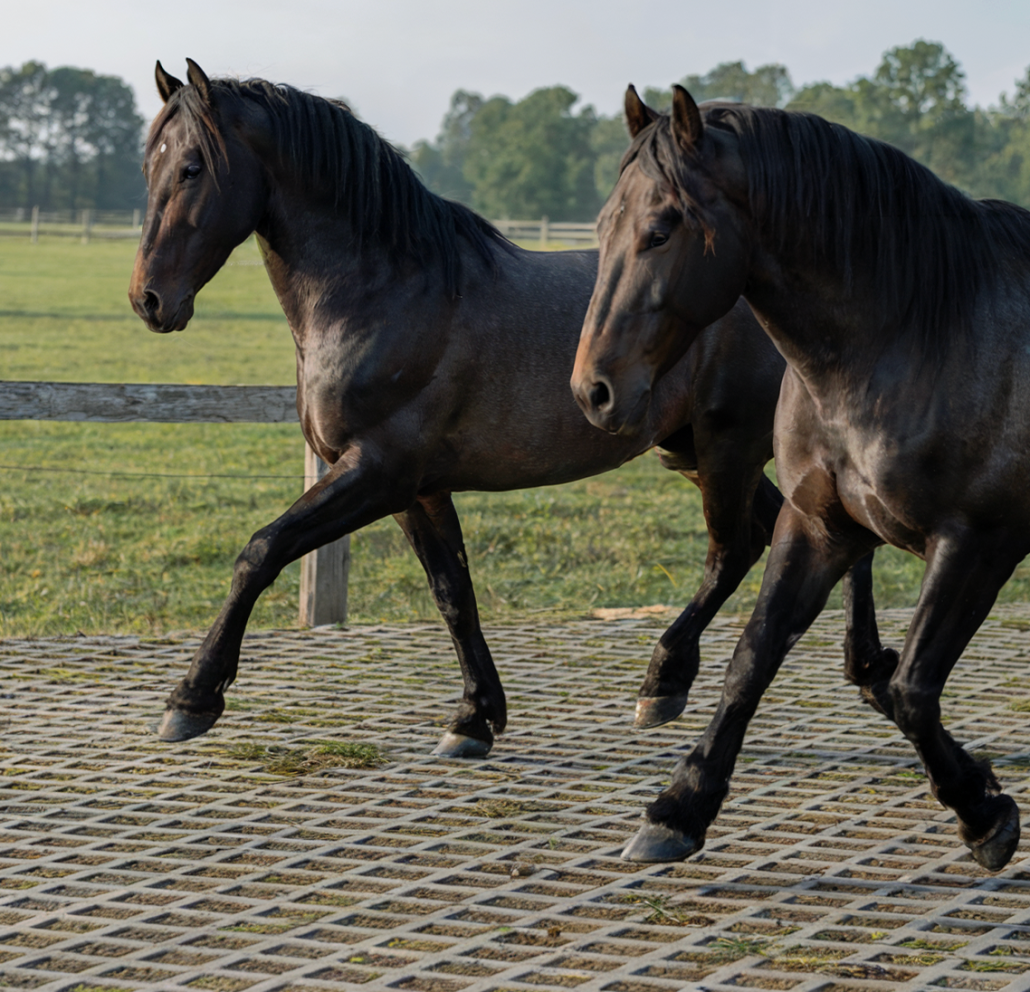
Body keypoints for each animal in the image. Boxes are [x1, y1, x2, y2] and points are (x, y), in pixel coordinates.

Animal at [128, 61, 889, 760]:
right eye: (149, 163)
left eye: (192, 167)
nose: (149, 301)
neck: (384, 293)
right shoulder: (416, 489)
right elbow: (453, 592)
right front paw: (474, 717)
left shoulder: (376, 472)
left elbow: (260, 552)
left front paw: (191, 699)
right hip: (693, 449)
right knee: (800, 538)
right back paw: (866, 670)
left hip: (727, 444)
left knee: (736, 549)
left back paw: (667, 683)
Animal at [572, 84, 1030, 871]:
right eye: (603, 225)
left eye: (660, 230)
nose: (593, 390)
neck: (918, 336)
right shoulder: (817, 525)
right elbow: (753, 659)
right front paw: (679, 805)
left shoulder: (977, 544)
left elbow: (910, 690)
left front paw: (984, 814)